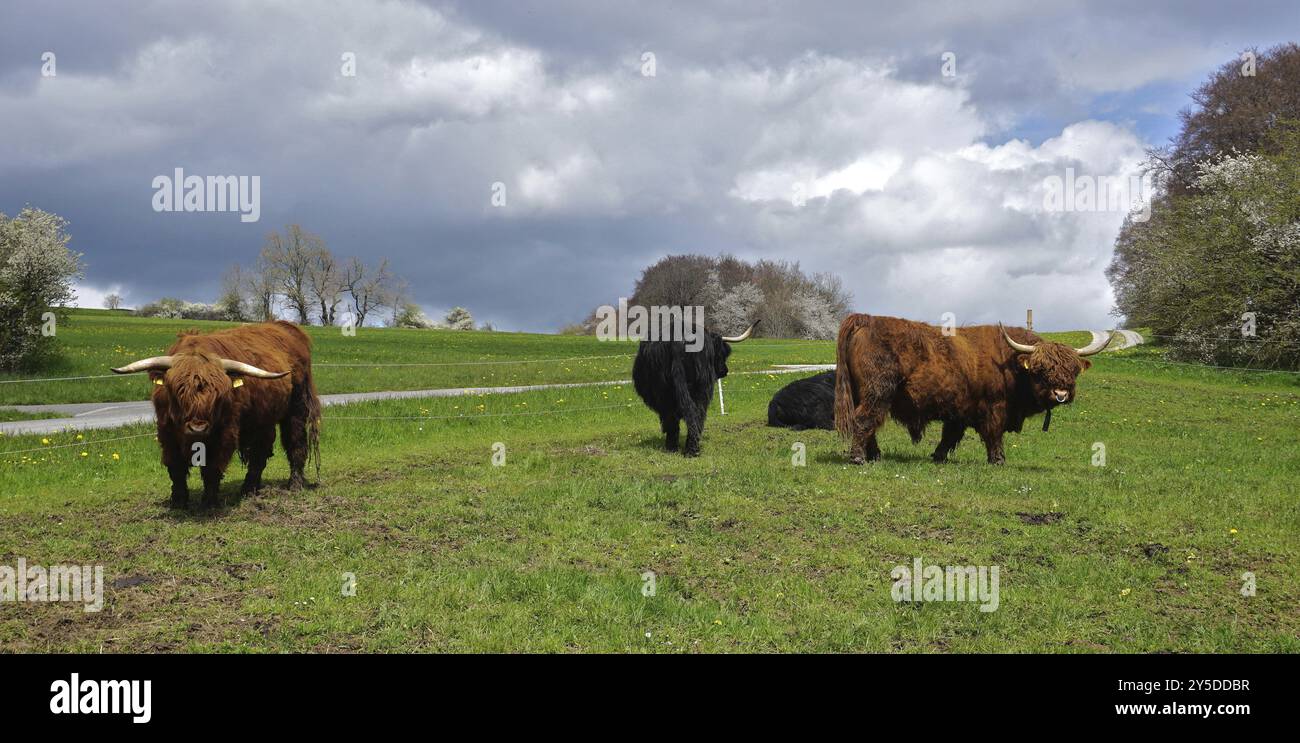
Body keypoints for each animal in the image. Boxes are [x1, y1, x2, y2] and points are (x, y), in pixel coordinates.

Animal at [111, 321, 321, 509]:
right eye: (177, 391)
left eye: (218, 394)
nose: (198, 427)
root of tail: (285, 326)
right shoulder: (166, 432)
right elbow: (176, 468)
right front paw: (178, 501)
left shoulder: (224, 432)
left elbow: (212, 468)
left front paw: (209, 502)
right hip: (263, 419)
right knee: (260, 452)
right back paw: (250, 489)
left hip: (296, 408)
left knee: (295, 443)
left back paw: (294, 484)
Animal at [632, 322, 757, 456]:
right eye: (722, 354)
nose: (725, 371)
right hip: (700, 388)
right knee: (695, 414)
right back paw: (691, 450)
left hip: (667, 391)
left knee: (677, 417)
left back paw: (677, 449)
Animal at [833, 315, 1113, 465]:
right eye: (1040, 370)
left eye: (1072, 370)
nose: (1061, 394)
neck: (1011, 363)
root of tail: (865, 318)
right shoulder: (995, 407)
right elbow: (994, 434)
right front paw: (998, 460)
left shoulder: (960, 410)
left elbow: (949, 436)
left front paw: (938, 457)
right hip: (877, 392)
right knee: (864, 420)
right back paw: (858, 458)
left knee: (869, 424)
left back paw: (875, 455)